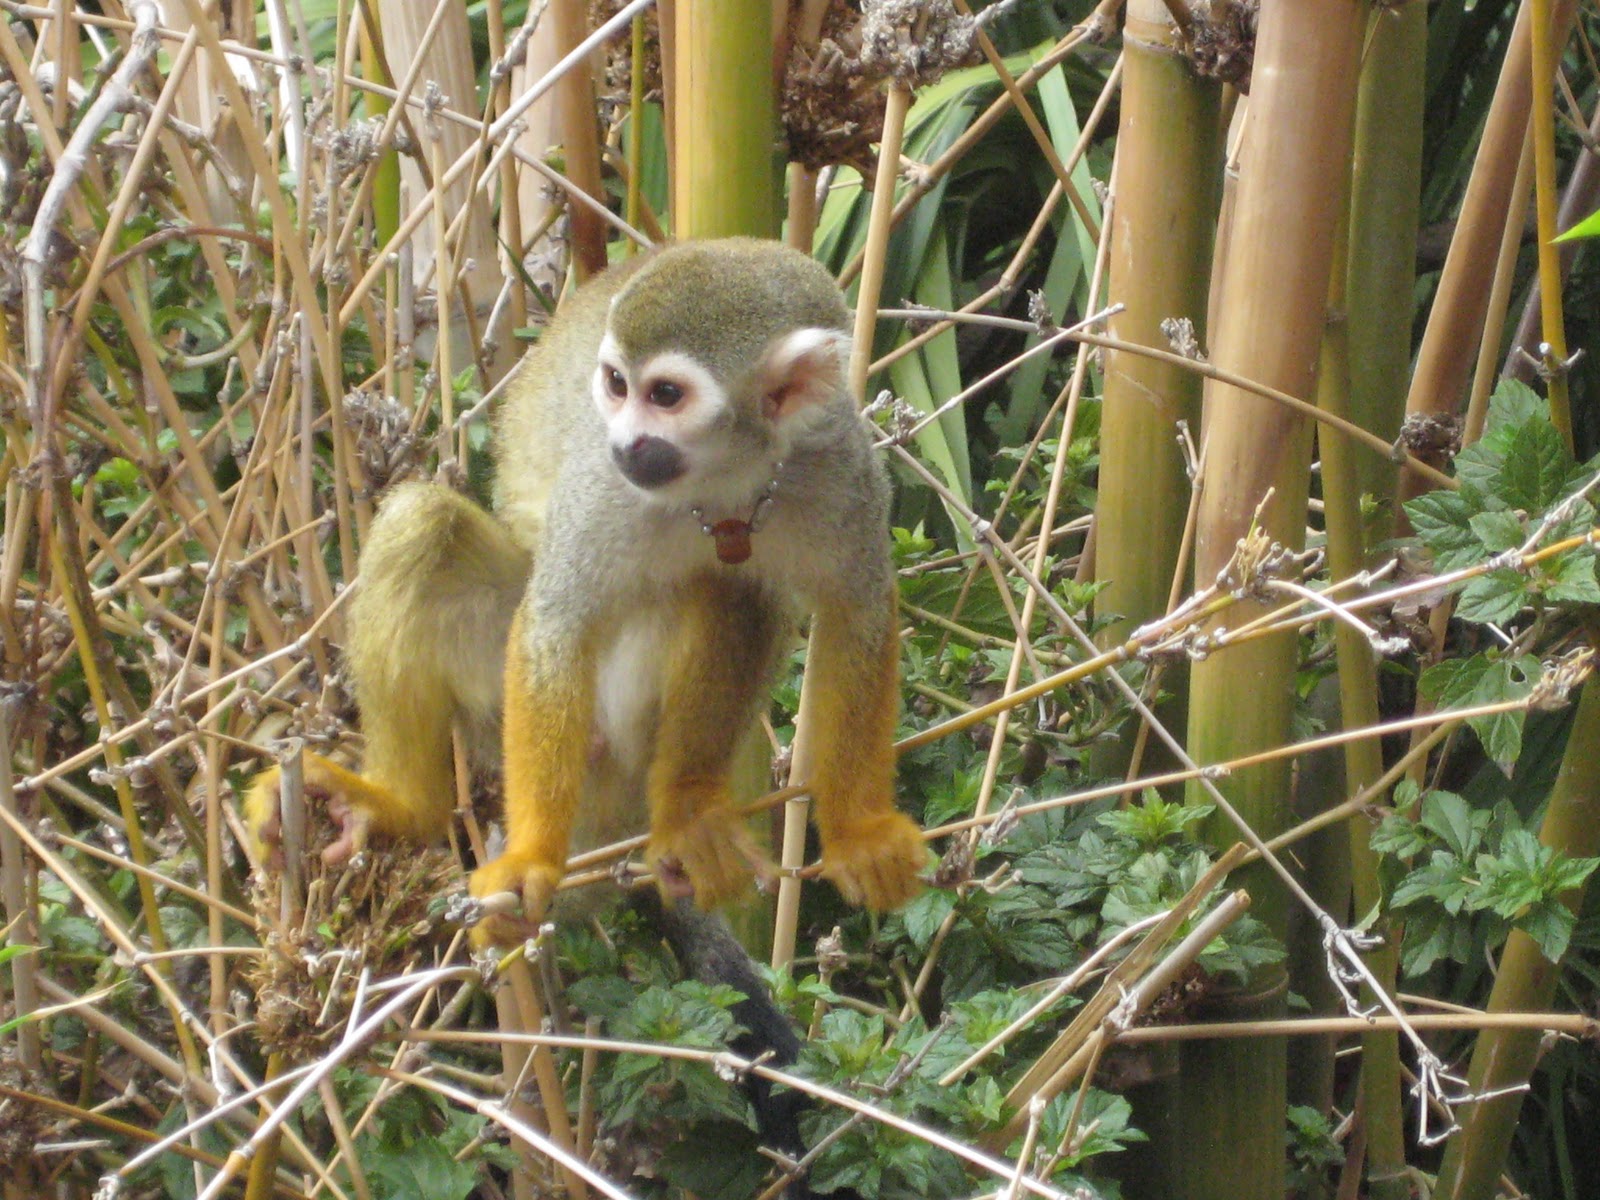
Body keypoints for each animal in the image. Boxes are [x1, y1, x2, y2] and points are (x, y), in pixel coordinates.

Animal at [244, 236, 928, 938]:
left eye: (667, 394)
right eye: (618, 385)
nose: (626, 443)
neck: (726, 476)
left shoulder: (838, 469)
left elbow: (858, 615)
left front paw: (858, 833)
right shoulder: (605, 486)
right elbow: (556, 625)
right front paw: (528, 858)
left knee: (728, 587)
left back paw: (685, 812)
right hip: (501, 708)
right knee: (423, 524)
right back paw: (400, 806)